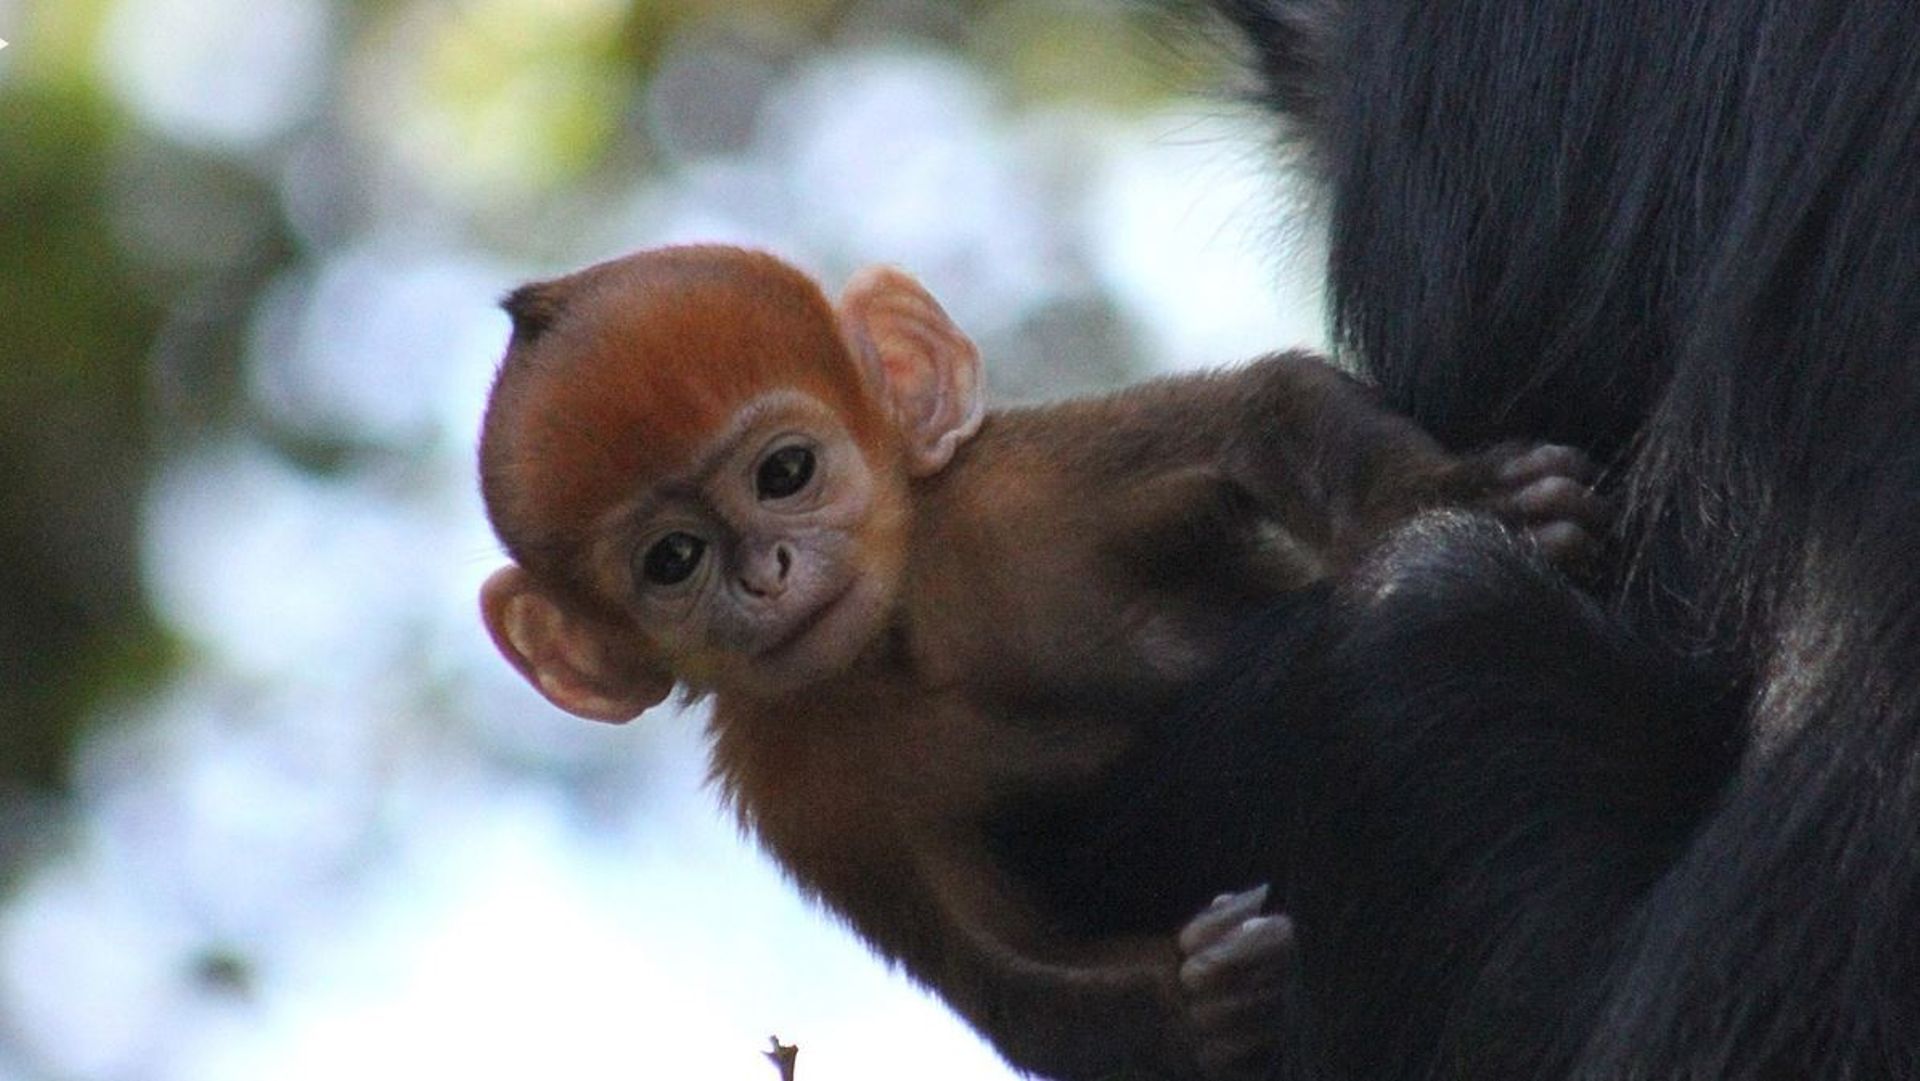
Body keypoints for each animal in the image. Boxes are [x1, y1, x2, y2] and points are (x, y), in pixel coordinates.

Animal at [474, 244, 1606, 1080]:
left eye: (784, 472)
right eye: (673, 560)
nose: (765, 574)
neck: (904, 641)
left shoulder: (1016, 492)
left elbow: (1262, 409)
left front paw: (1450, 494)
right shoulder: (802, 787)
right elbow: (995, 974)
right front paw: (1209, 997)